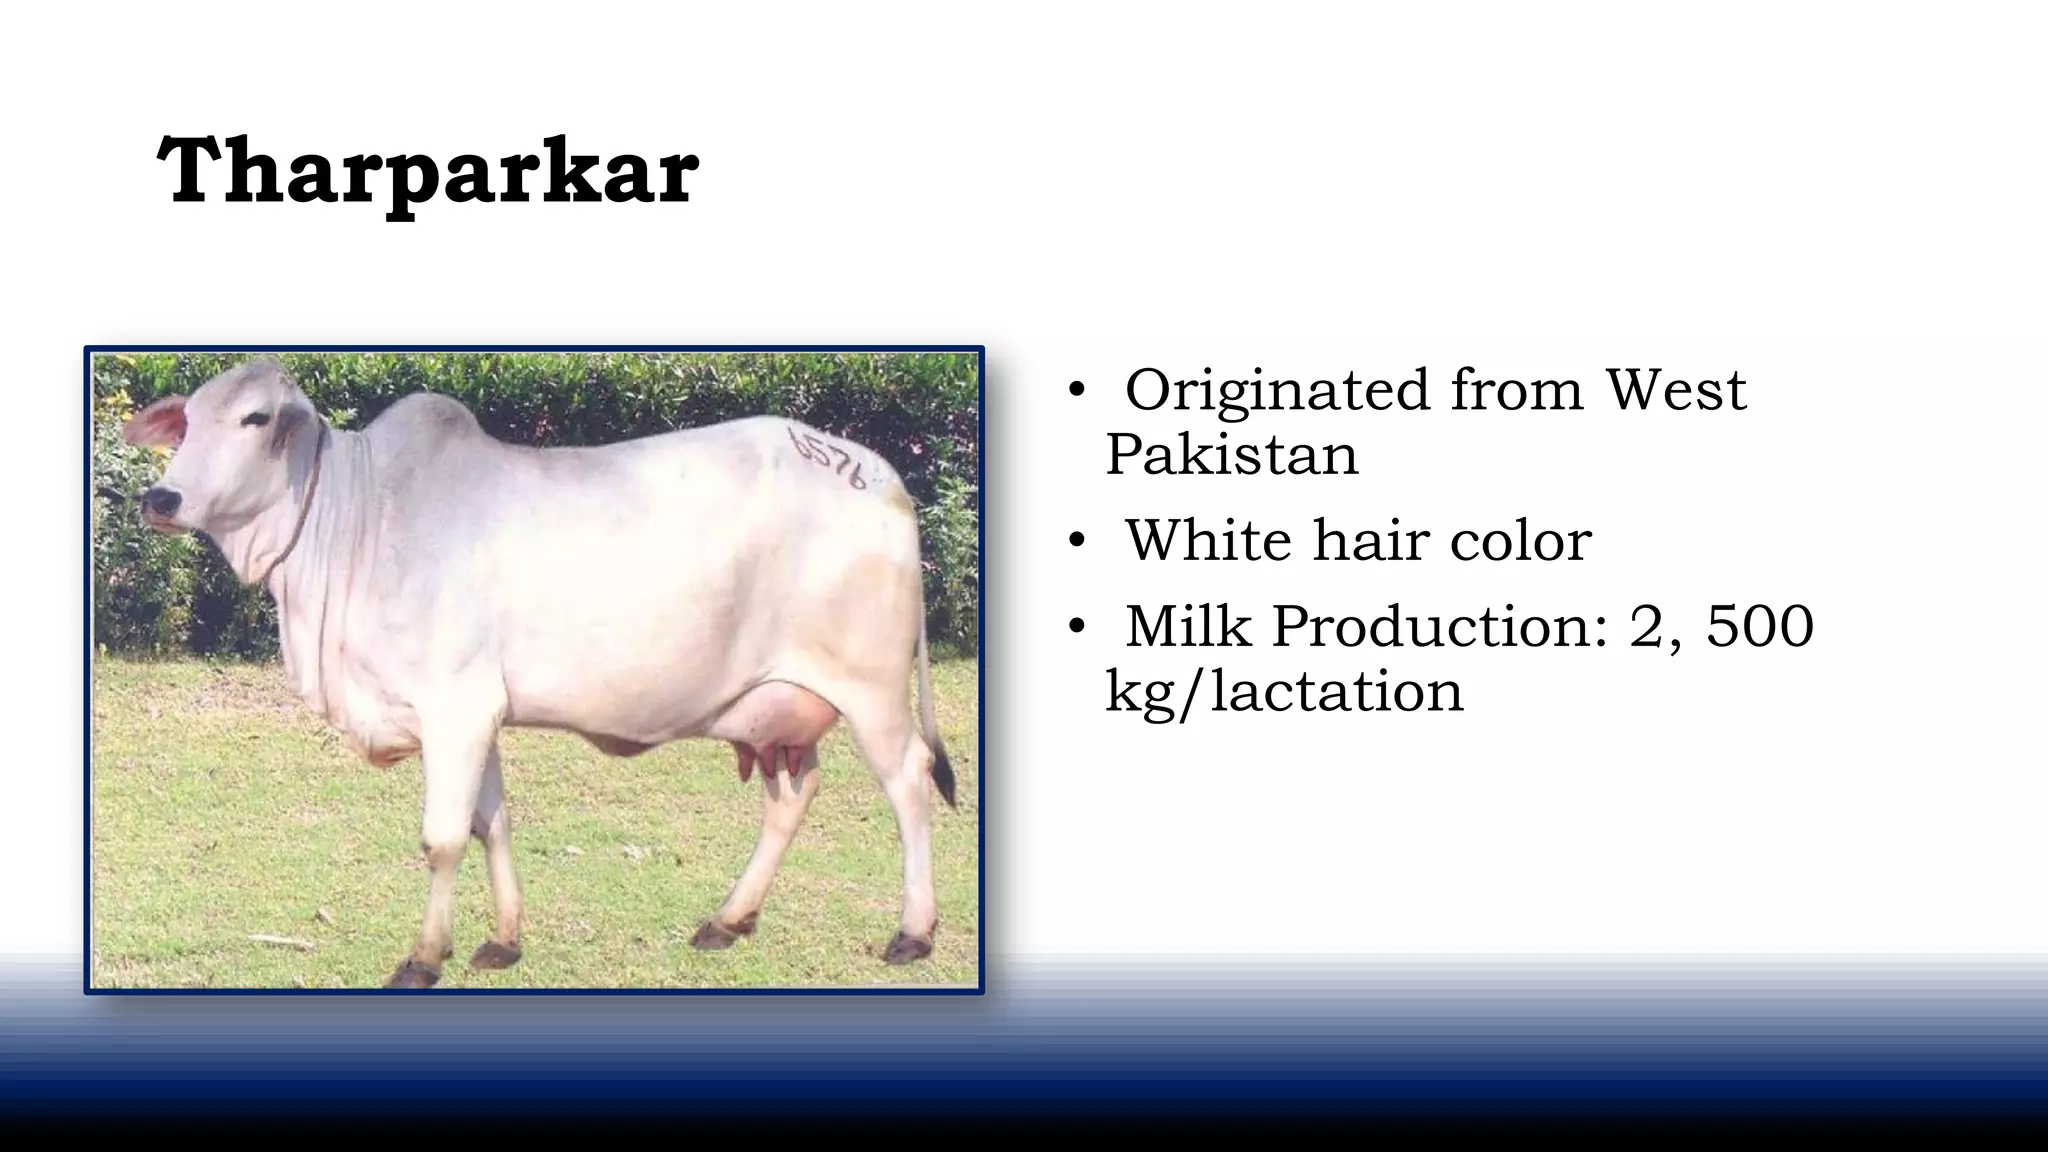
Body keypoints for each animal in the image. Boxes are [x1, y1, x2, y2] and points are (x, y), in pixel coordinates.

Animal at [117, 358, 960, 989]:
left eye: (255, 419)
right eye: (186, 420)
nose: (162, 496)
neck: (357, 520)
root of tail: (880, 474)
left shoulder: (454, 708)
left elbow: (443, 838)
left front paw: (423, 958)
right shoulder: (479, 714)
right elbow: (491, 823)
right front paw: (502, 939)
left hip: (873, 692)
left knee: (909, 783)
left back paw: (913, 932)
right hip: (780, 708)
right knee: (792, 797)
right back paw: (728, 920)